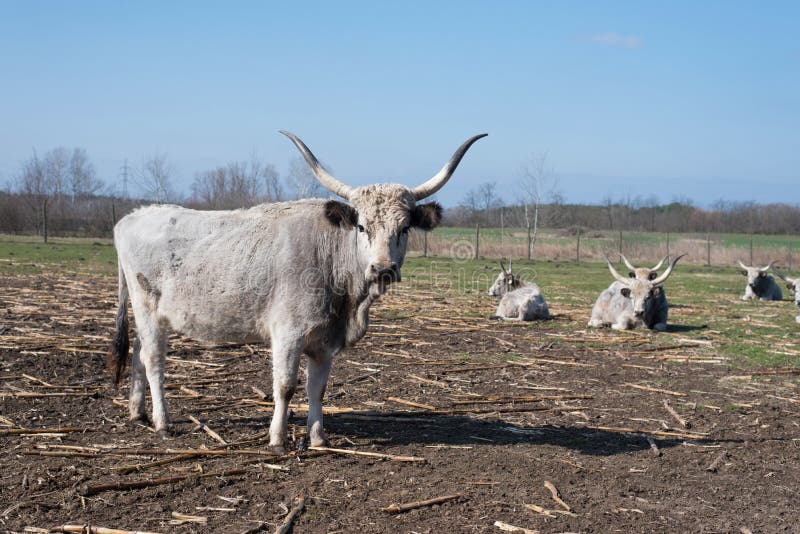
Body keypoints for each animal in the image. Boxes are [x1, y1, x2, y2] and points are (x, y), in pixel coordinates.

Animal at [108, 131, 487, 452]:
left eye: (405, 227)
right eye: (361, 226)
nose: (382, 269)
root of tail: (131, 217)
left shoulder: (324, 341)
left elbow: (317, 388)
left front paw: (318, 437)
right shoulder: (287, 332)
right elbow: (286, 386)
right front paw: (278, 439)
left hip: (149, 316)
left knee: (139, 353)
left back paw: (137, 412)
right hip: (147, 308)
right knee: (153, 360)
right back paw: (162, 422)